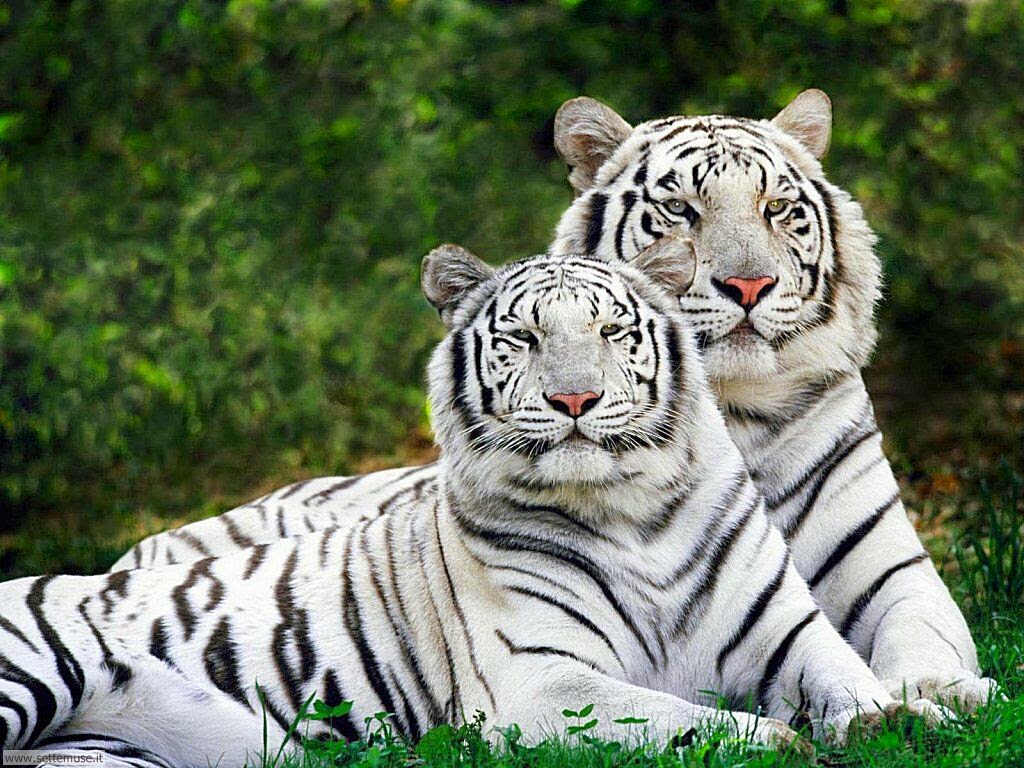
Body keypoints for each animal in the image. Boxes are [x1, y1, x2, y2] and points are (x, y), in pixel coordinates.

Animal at [1, 246, 946, 767]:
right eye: (523, 339)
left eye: (612, 332)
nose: (574, 400)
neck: (634, 512)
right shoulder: (541, 680)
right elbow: (689, 719)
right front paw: (781, 742)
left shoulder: (788, 632)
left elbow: (851, 681)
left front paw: (909, 719)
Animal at [110, 90, 997, 710]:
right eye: (680, 210)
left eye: (778, 208)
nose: (748, 285)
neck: (735, 412)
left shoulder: (894, 571)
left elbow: (924, 634)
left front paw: (946, 693)